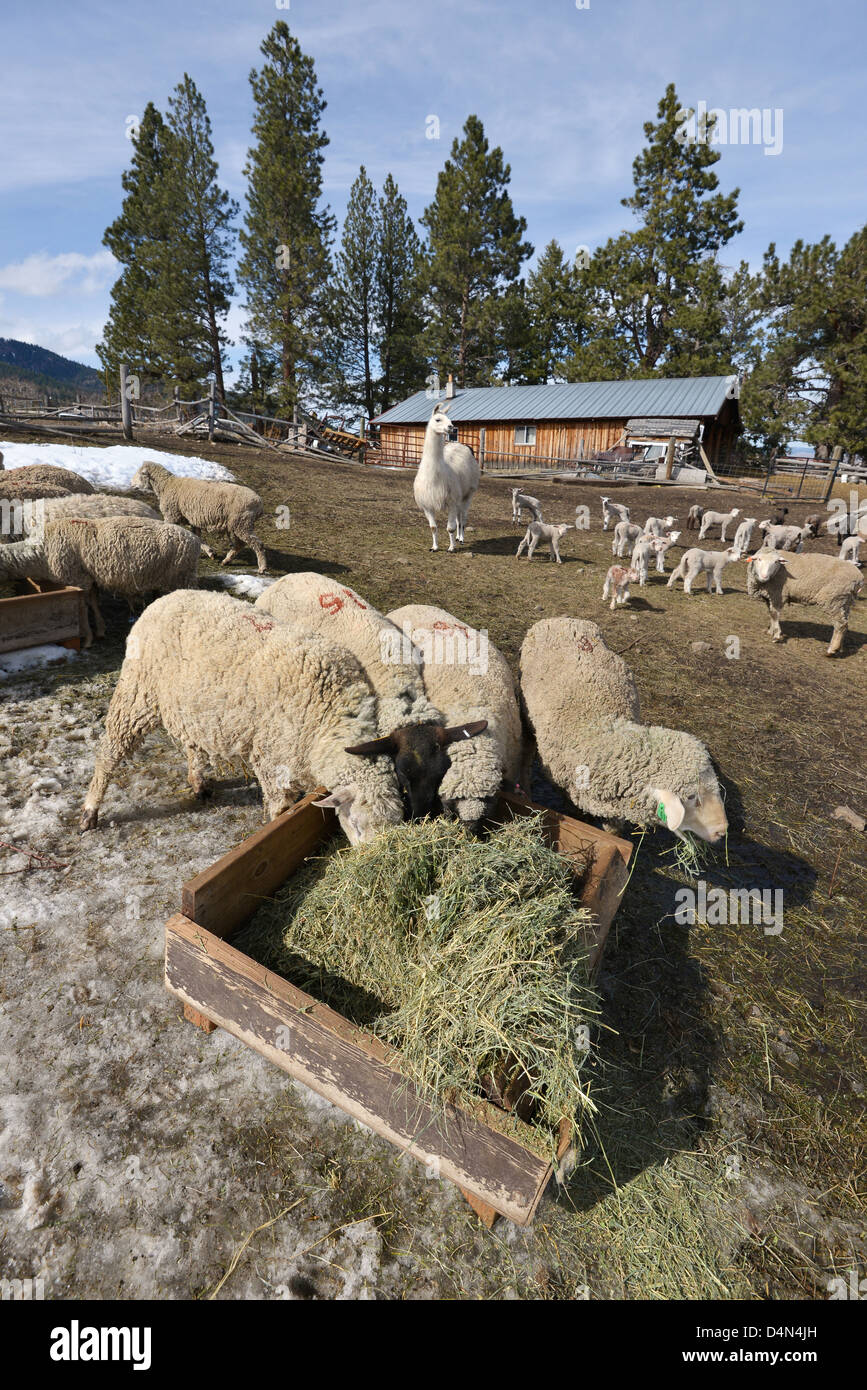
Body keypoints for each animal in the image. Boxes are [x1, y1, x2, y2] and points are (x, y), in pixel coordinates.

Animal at [0, 516, 200, 647]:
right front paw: (100, 631)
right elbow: (94, 604)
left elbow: (82, 610)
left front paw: (87, 639)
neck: (39, 554)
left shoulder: (78, 580)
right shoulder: (90, 580)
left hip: (182, 577)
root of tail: (195, 540)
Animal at [79, 590, 407, 842]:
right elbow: (279, 806)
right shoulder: (273, 757)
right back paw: (90, 810)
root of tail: (164, 599)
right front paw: (275, 828)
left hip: (192, 705)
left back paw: (198, 783)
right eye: (357, 825)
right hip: (137, 693)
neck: (329, 714)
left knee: (192, 745)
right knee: (109, 752)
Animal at [131, 461, 268, 573]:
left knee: (257, 544)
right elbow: (197, 537)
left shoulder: (172, 515)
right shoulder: (193, 520)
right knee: (240, 544)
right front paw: (210, 552)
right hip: (236, 525)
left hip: (241, 523)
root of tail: (259, 502)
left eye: (140, 474)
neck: (166, 485)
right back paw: (226, 560)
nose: (131, 484)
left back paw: (262, 567)